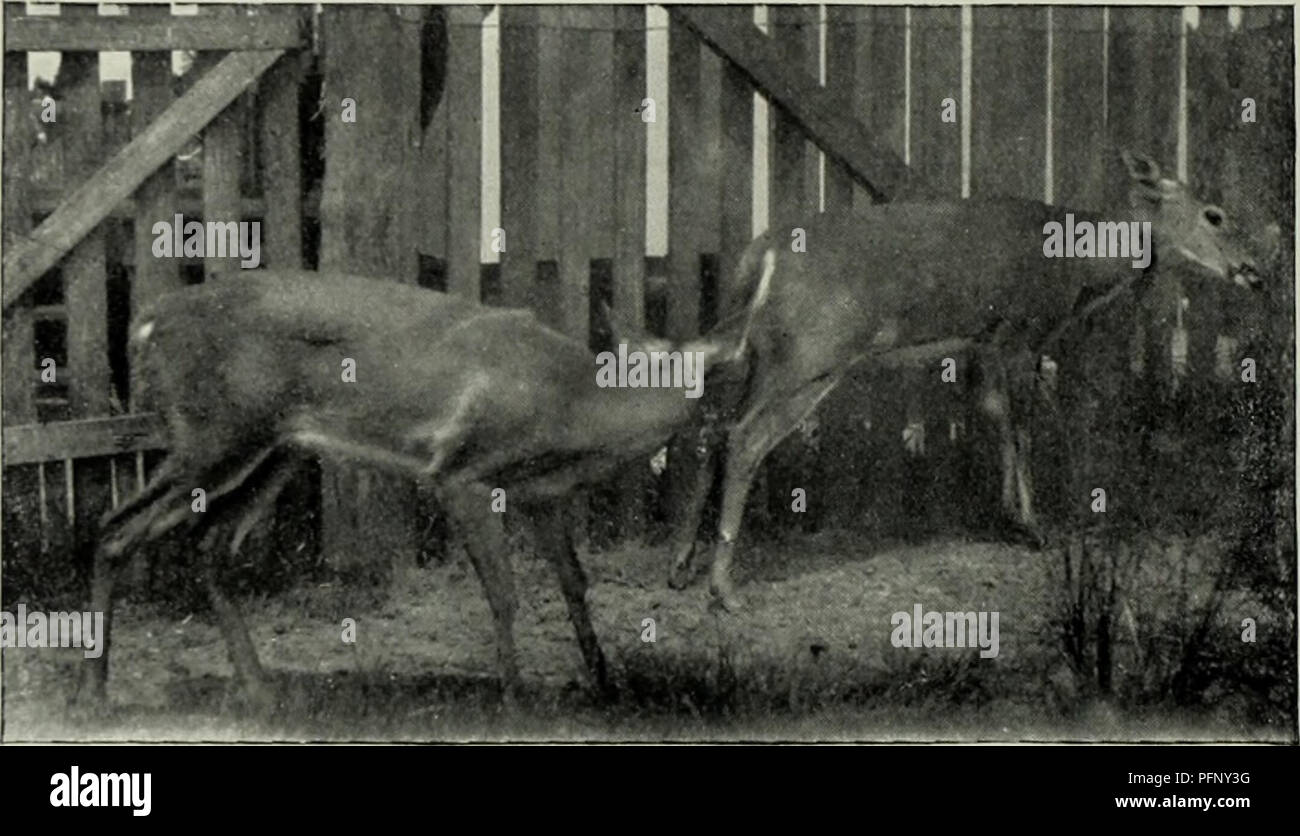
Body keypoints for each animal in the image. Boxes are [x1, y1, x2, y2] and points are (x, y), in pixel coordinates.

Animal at [77, 262, 773, 710]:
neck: (572, 408)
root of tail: (148, 321)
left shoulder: (541, 494)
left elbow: (574, 582)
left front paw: (605, 683)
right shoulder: (460, 471)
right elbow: (503, 589)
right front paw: (515, 696)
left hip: (277, 448)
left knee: (209, 545)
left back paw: (260, 689)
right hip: (215, 433)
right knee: (115, 528)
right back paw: (96, 690)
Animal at [668, 150, 1277, 612]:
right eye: (1215, 214)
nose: (1255, 271)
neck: (1076, 263)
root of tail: (758, 258)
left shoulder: (983, 342)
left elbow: (994, 415)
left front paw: (1010, 517)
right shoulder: (1022, 329)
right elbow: (1022, 425)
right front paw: (1034, 526)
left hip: (764, 358)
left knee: (715, 430)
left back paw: (680, 567)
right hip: (812, 354)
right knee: (745, 439)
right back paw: (724, 590)